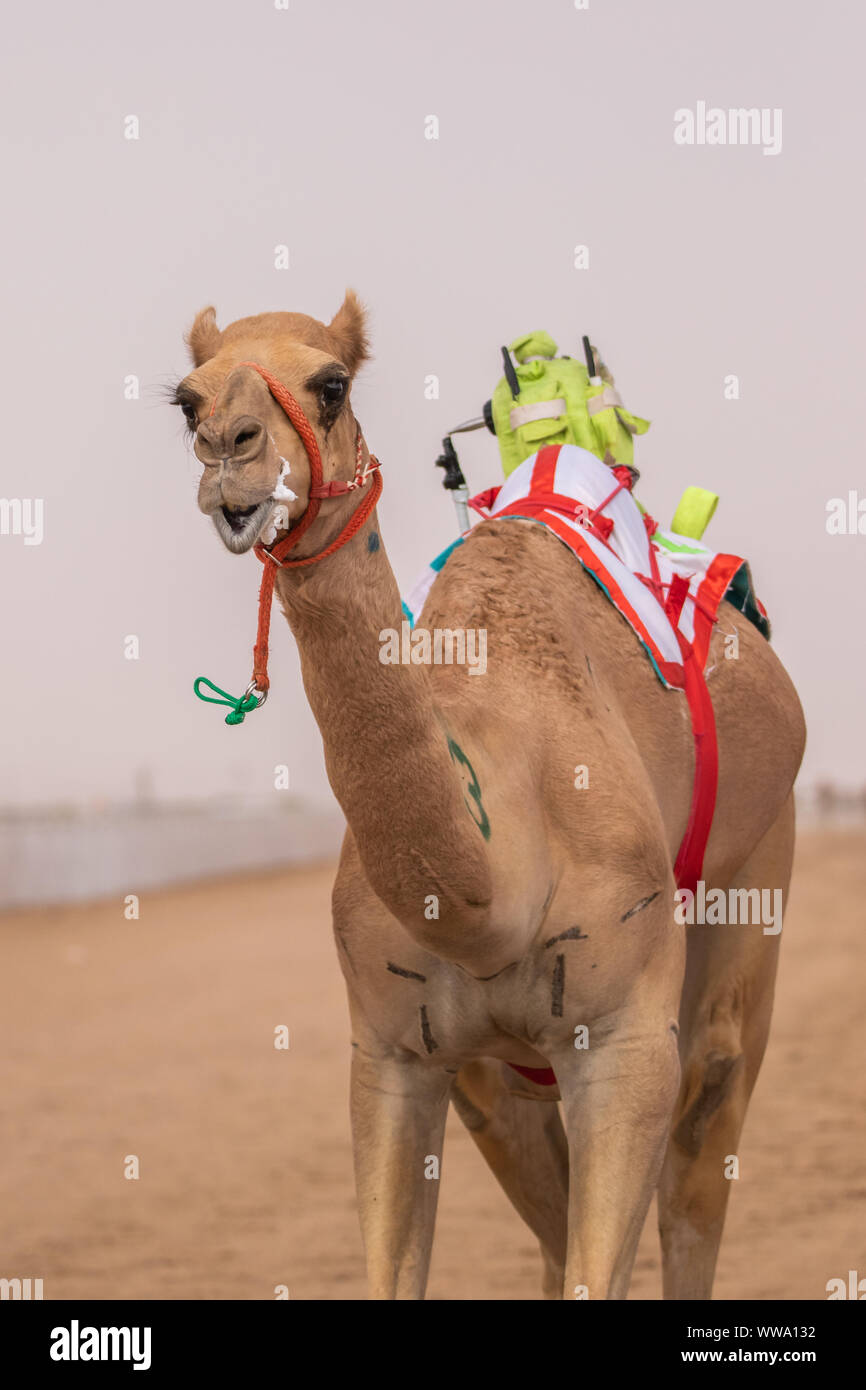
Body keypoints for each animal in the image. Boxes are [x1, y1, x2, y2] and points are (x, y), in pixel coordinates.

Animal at [173, 292, 805, 1300]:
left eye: (331, 383)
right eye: (185, 400)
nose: (230, 451)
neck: (491, 884)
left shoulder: (627, 1040)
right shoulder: (392, 1052)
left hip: (757, 872)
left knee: (703, 1147)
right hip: (503, 1075)